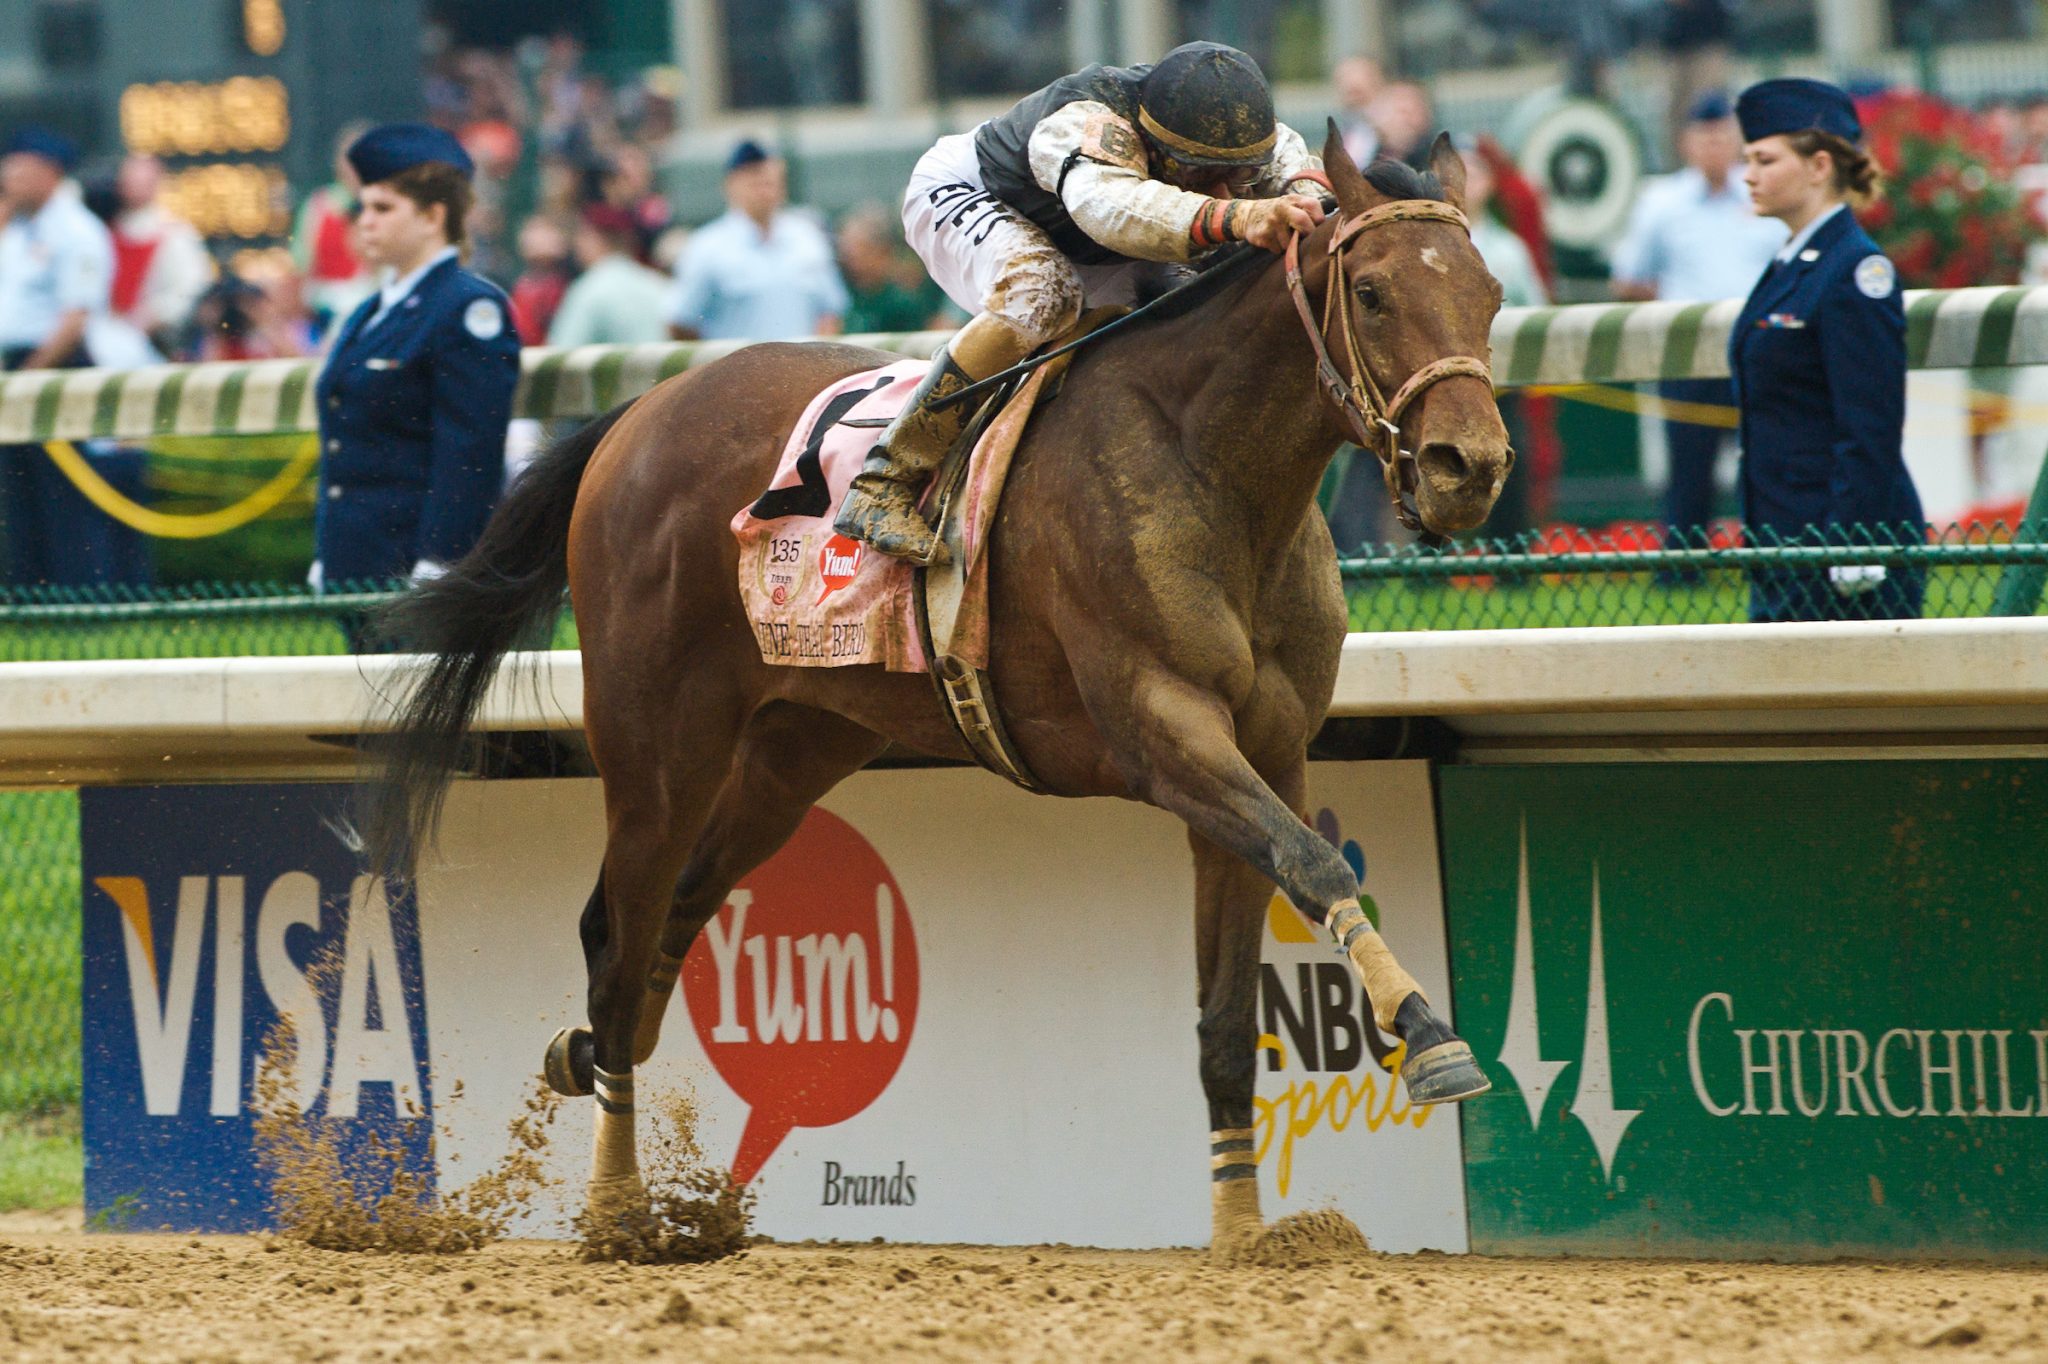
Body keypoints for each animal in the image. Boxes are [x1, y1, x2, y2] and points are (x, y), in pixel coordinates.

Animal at [363, 128, 1512, 1260]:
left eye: (1490, 290)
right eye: (1371, 292)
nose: (1470, 466)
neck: (1212, 468)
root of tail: (639, 411)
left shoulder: (1265, 751)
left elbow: (1237, 996)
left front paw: (1241, 1228)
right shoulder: (1161, 727)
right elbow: (1317, 862)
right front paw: (1431, 1037)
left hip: (794, 750)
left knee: (675, 916)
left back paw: (595, 1060)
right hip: (657, 744)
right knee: (616, 933)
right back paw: (616, 1206)